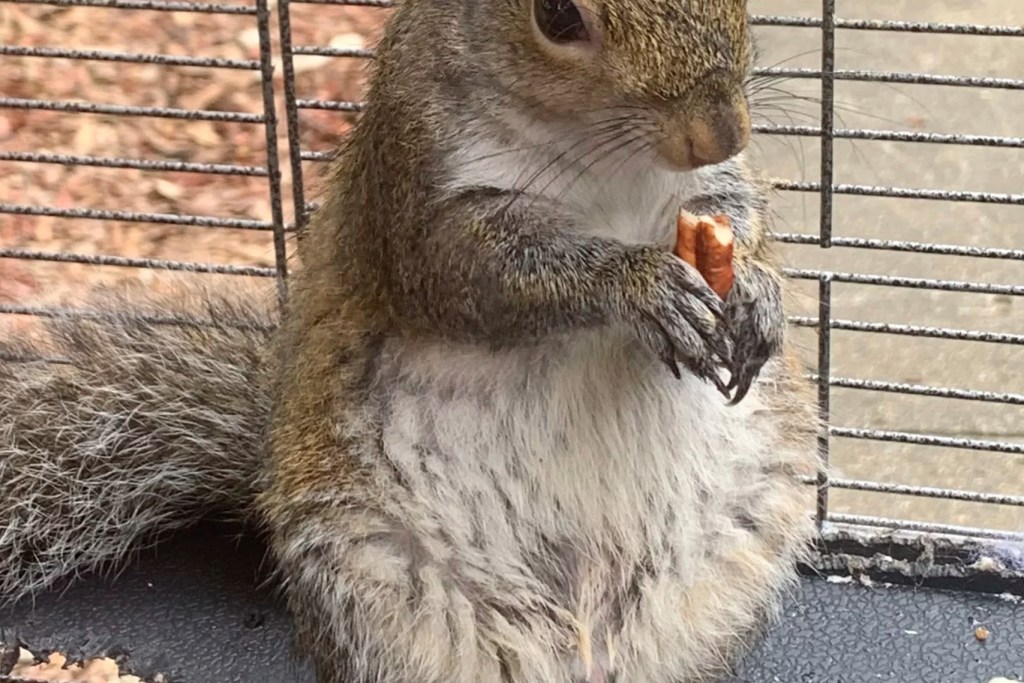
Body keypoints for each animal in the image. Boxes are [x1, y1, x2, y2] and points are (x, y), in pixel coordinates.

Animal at [0, 0, 822, 681]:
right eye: (557, 16)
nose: (722, 129)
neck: (601, 154)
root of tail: (577, 641)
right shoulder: (416, 180)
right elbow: (480, 276)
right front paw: (639, 285)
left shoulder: (708, 191)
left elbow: (736, 211)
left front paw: (757, 295)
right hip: (383, 584)